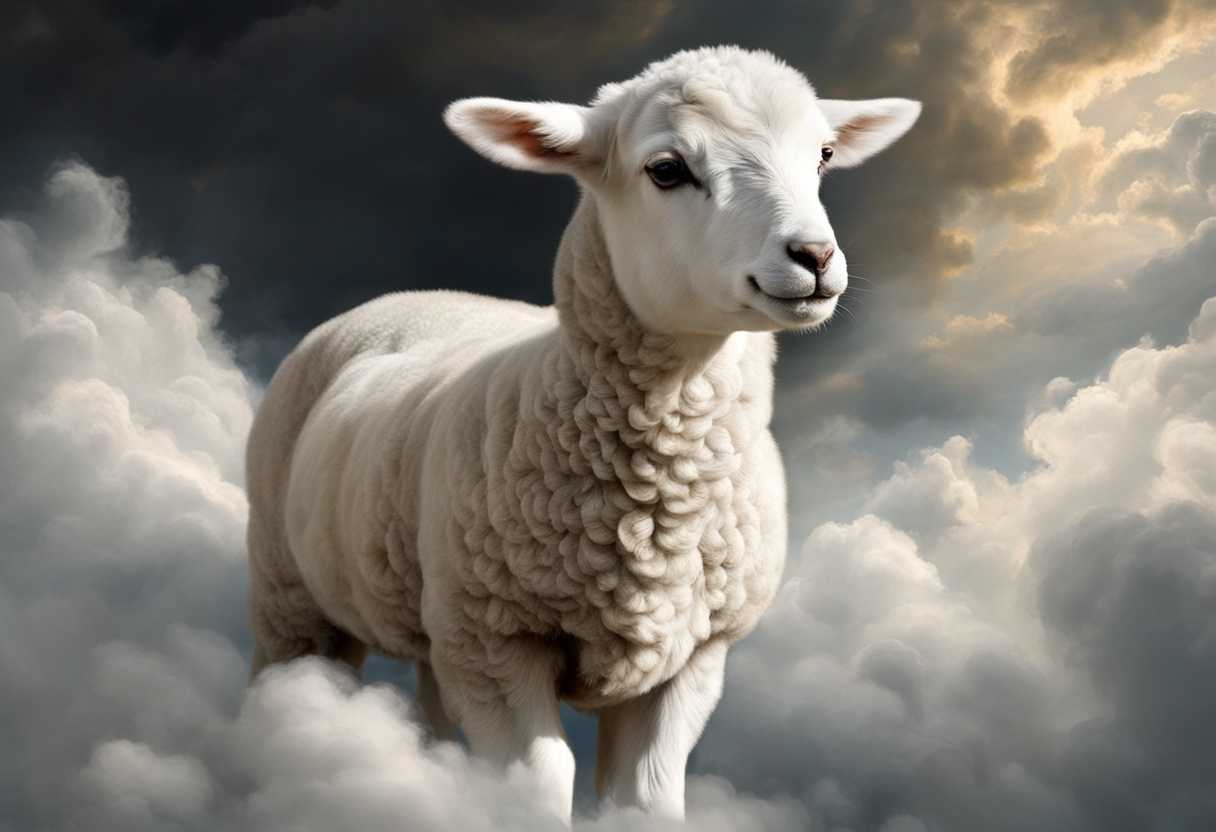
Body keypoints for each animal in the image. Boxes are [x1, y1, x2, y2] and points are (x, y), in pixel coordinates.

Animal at [245, 45, 920, 822]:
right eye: (667, 169)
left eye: (824, 155)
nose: (813, 257)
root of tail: (413, 297)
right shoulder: (498, 642)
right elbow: (537, 783)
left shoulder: (693, 657)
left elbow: (645, 798)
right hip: (293, 600)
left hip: (432, 617)